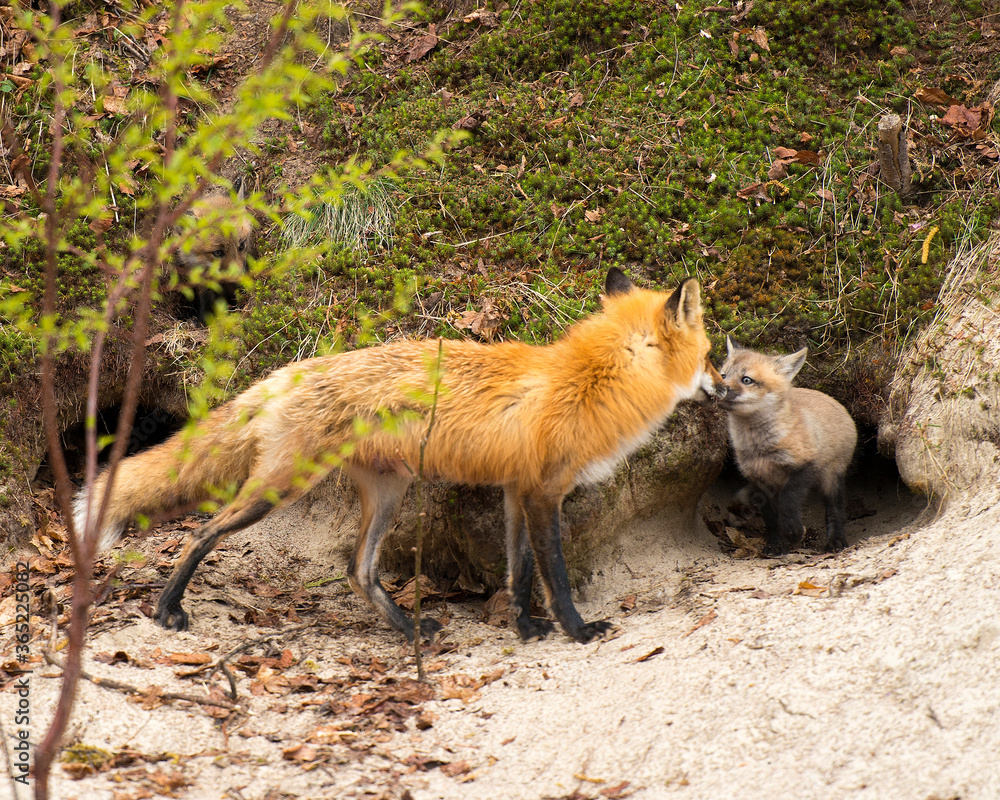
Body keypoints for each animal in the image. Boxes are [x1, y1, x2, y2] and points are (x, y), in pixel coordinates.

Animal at [73, 267, 724, 644]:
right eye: (710, 355)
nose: (725, 385)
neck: (588, 382)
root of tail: (285, 373)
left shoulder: (516, 492)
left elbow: (517, 575)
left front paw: (524, 628)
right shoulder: (543, 494)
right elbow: (555, 577)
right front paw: (577, 630)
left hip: (387, 493)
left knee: (359, 571)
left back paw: (410, 630)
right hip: (281, 488)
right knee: (200, 532)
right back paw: (167, 608)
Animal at [718, 337, 857, 556]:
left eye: (746, 380)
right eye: (723, 375)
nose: (719, 388)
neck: (760, 449)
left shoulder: (805, 466)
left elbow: (788, 502)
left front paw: (793, 532)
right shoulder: (761, 480)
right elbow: (771, 518)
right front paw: (776, 543)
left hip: (831, 477)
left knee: (835, 510)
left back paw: (836, 540)